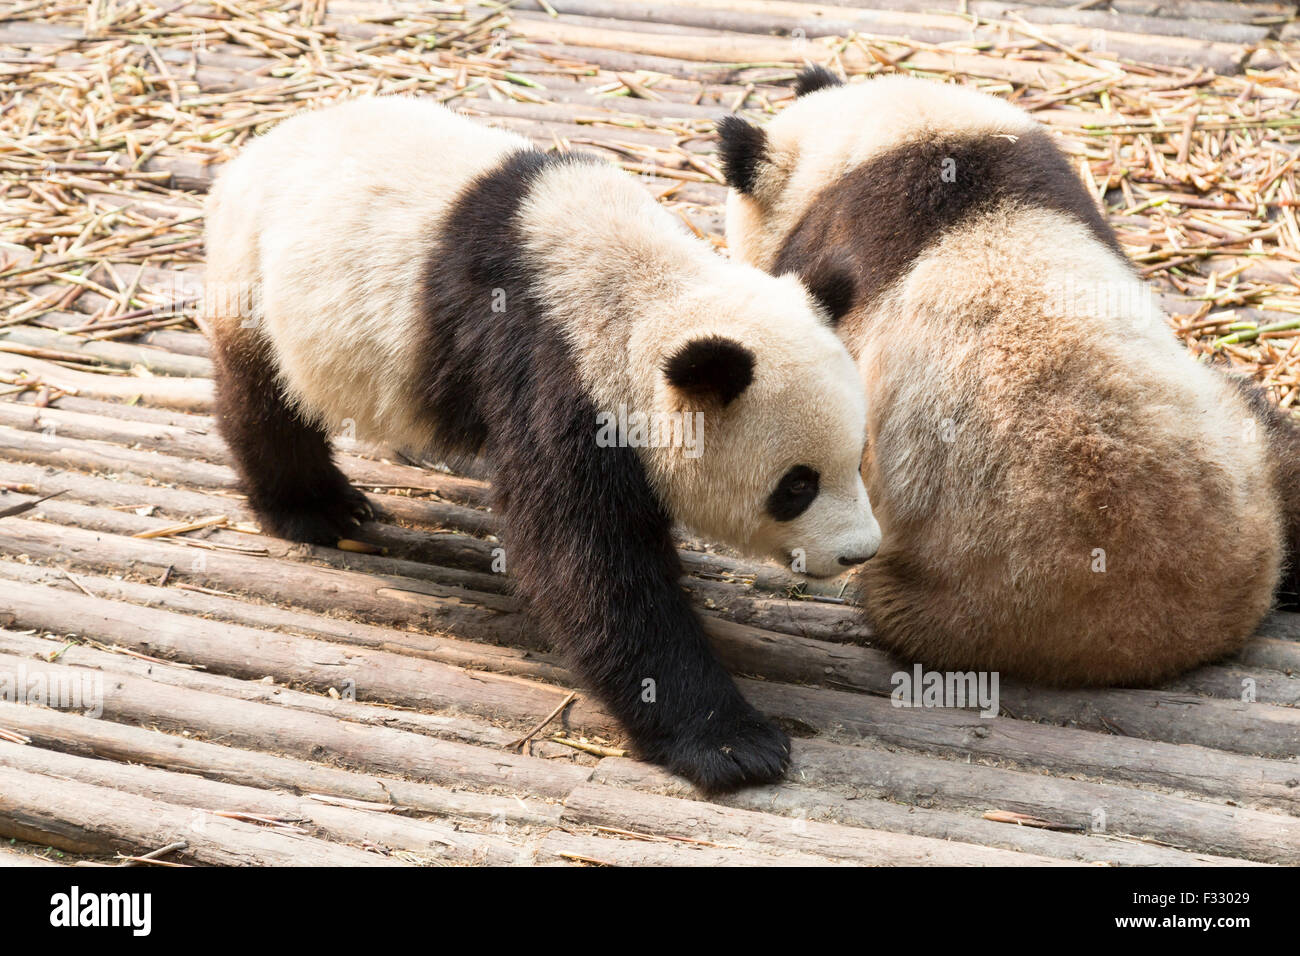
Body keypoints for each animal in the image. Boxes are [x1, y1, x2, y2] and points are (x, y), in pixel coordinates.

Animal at [203, 95, 881, 792]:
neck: (650, 293)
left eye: (858, 458)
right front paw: (732, 744)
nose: (859, 552)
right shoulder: (553, 371)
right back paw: (316, 507)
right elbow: (583, 565)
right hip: (258, 277)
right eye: (796, 485)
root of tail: (261, 144)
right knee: (264, 399)